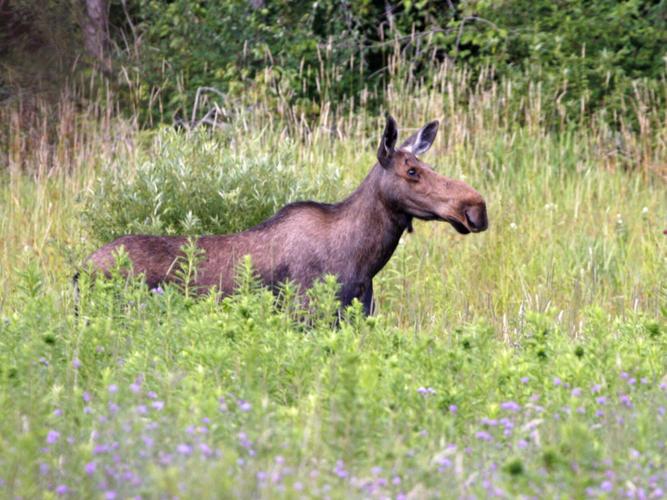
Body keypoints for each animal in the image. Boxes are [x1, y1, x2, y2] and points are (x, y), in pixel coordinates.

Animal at [80, 115, 488, 315]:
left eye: (425, 164)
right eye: (412, 171)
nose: (476, 207)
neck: (365, 260)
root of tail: (77, 272)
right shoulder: (307, 316)